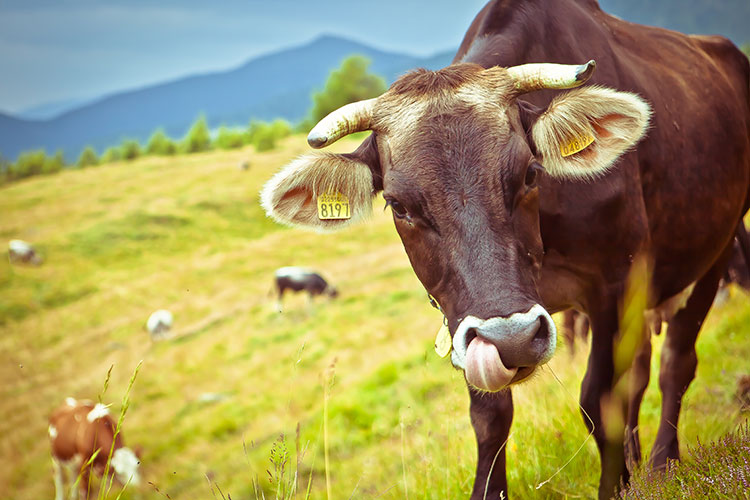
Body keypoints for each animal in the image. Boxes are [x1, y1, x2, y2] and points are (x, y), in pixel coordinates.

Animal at [260, 1, 750, 498]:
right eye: (398, 206)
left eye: (531, 172)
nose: (511, 339)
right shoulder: (460, 314)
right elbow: (491, 415)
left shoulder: (616, 283)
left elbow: (600, 398)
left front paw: (616, 484)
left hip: (716, 249)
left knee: (675, 363)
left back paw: (662, 462)